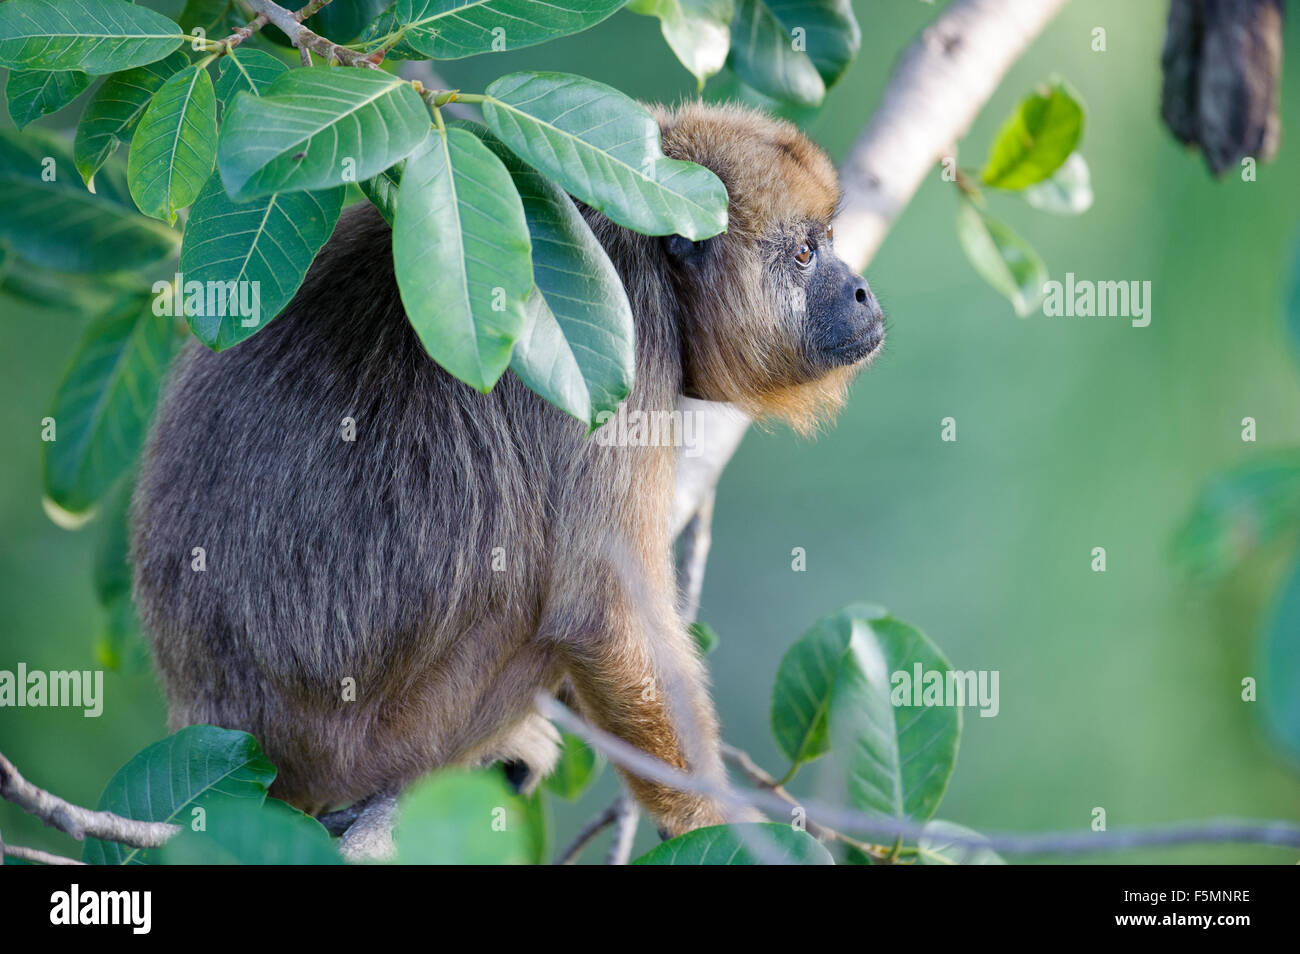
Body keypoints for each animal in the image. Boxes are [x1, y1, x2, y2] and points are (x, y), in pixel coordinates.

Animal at [130, 101, 885, 841]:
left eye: (828, 239)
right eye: (804, 254)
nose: (861, 292)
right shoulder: (627, 334)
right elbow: (602, 615)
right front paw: (719, 824)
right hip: (391, 735)